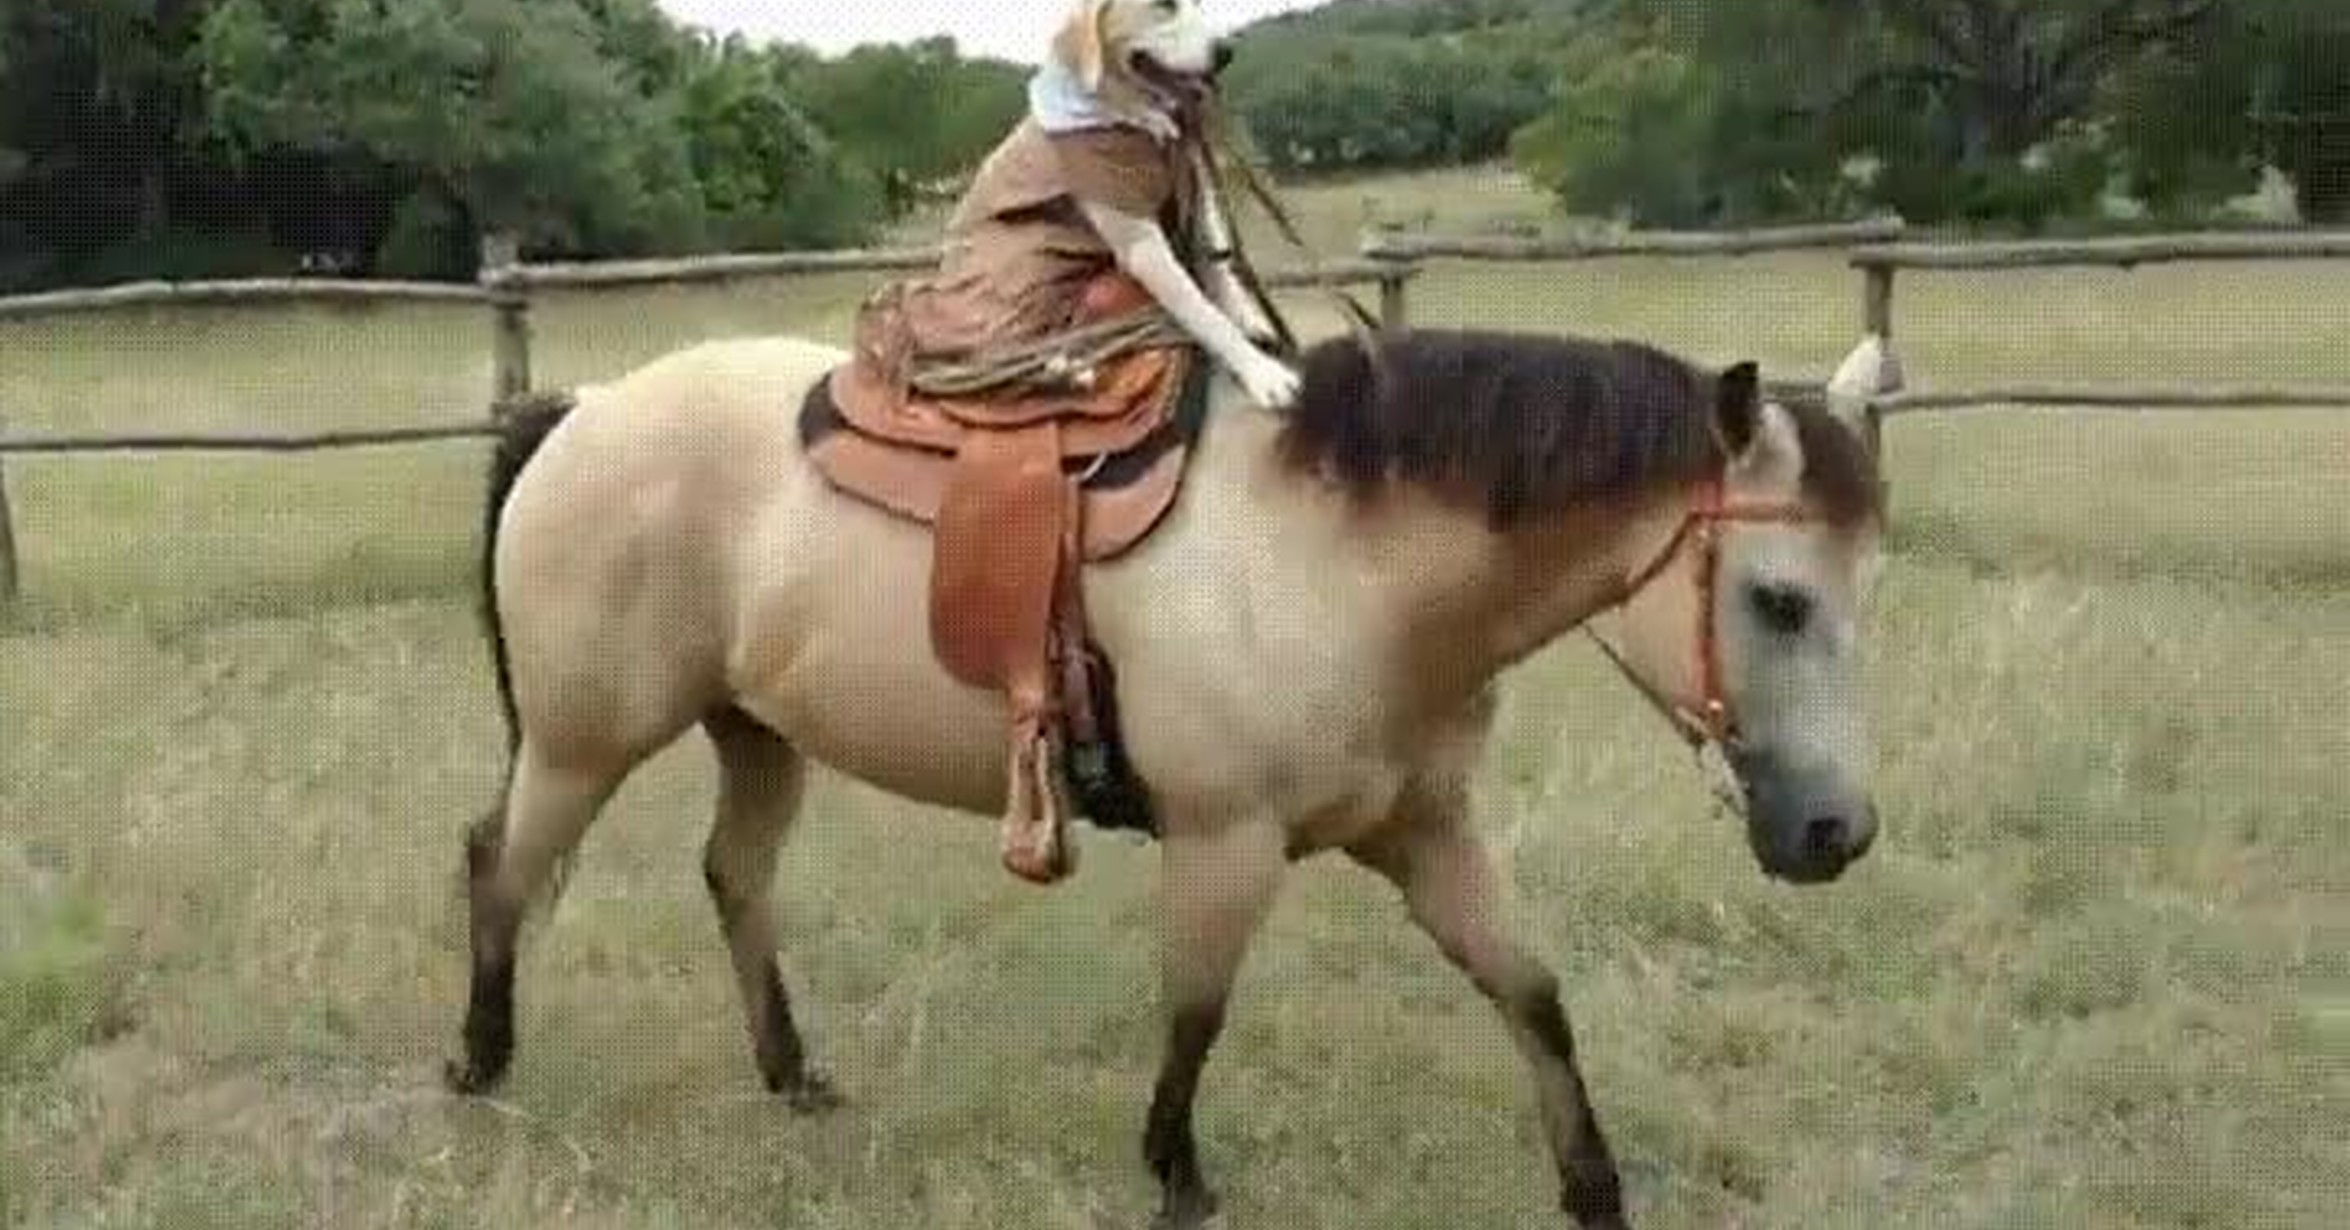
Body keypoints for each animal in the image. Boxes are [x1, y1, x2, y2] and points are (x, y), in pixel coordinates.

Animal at [447, 324, 1892, 1230]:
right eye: (1774, 598)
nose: (1837, 830)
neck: (1343, 566)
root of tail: (581, 411)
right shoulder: (1224, 841)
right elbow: (1195, 1011)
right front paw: (1177, 1177)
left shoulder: (1427, 833)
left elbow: (1531, 994)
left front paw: (1592, 1187)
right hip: (582, 742)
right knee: (501, 864)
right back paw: (480, 1063)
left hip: (754, 732)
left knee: (732, 877)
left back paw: (791, 1075)